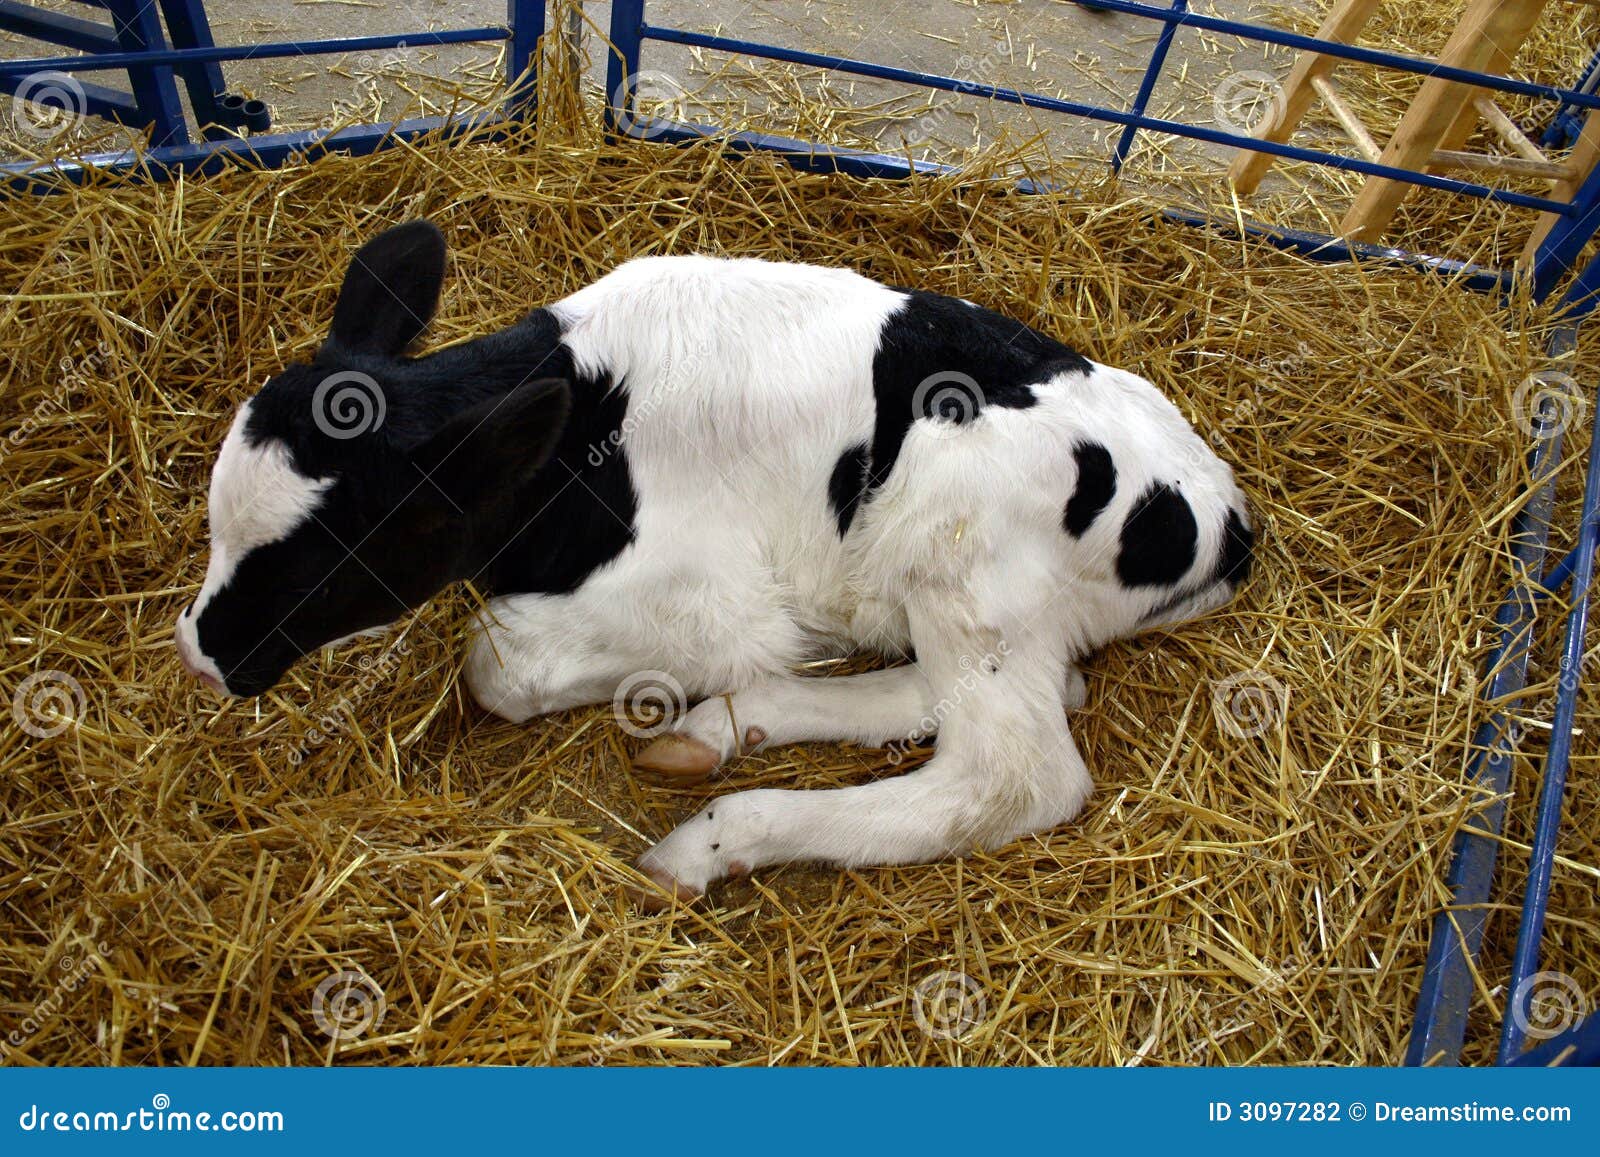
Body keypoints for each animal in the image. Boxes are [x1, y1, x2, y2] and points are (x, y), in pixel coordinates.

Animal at [174, 220, 1253, 904]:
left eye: (328, 564)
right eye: (216, 523)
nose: (201, 651)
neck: (586, 430)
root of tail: (1221, 513)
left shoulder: (714, 599)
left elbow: (496, 665)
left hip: (956, 544)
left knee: (1013, 773)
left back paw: (717, 835)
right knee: (1020, 688)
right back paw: (719, 729)